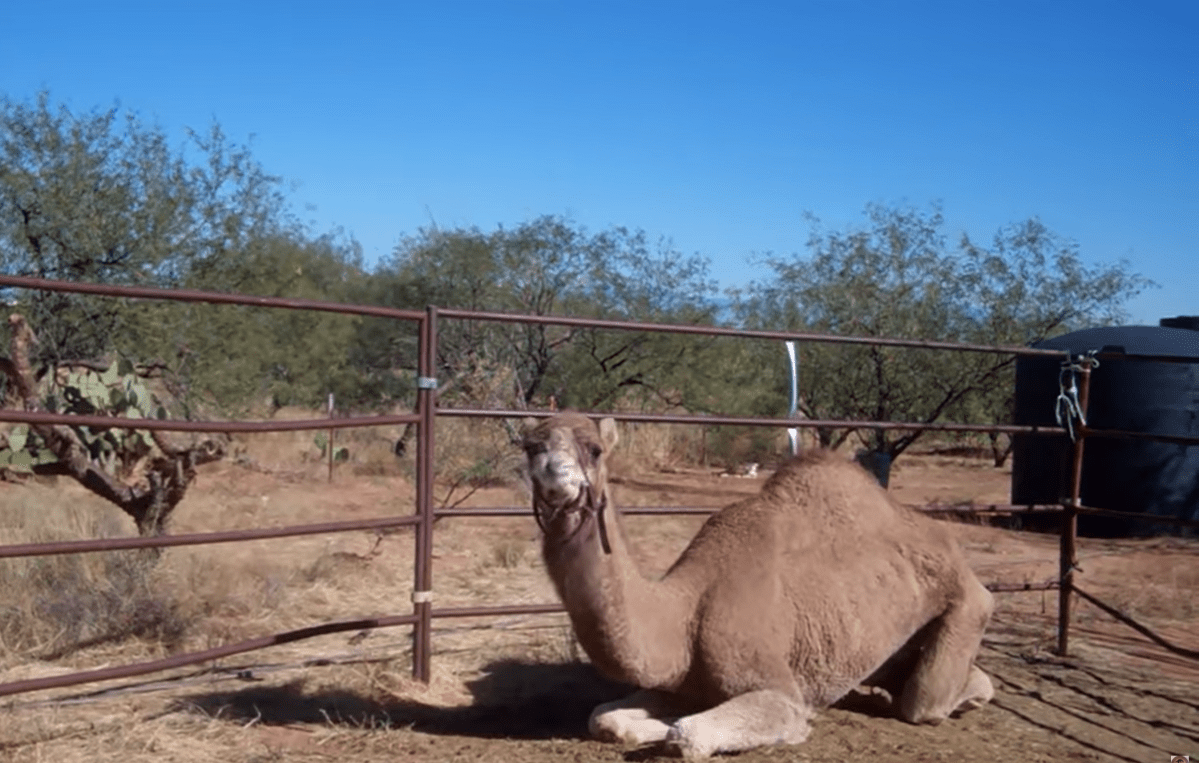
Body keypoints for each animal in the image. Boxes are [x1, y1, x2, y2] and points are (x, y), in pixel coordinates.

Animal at [521, 413, 994, 759]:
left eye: (595, 449)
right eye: (531, 446)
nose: (554, 473)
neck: (686, 614)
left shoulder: (775, 688)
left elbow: (689, 735)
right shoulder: (684, 681)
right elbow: (605, 719)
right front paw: (648, 725)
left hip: (968, 600)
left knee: (924, 701)